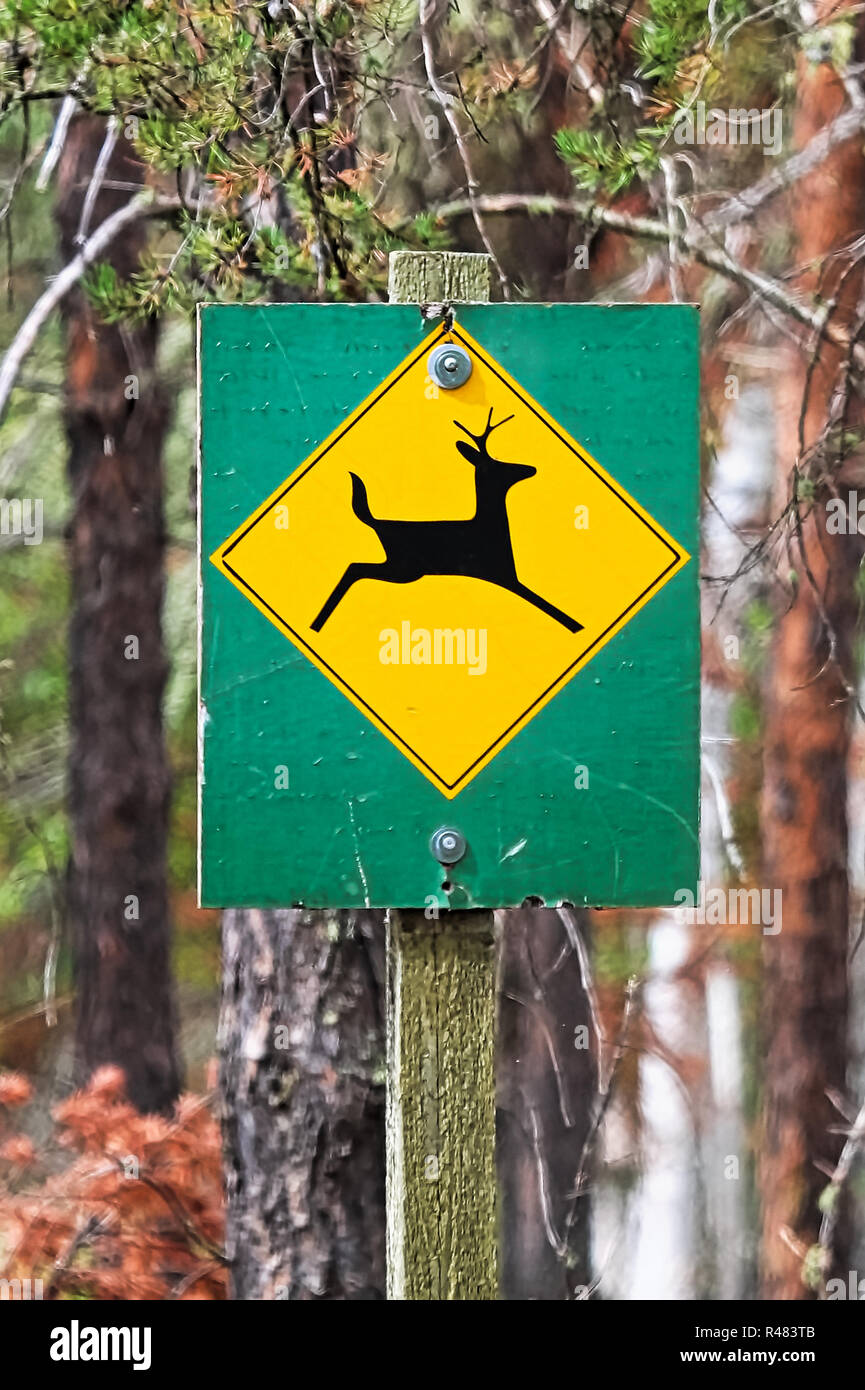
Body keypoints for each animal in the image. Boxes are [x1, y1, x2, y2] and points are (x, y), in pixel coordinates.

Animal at [310, 408, 582, 634]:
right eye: (497, 464)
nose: (530, 469)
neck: (488, 526)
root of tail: (377, 521)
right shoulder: (504, 576)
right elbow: (545, 605)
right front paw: (575, 625)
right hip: (405, 568)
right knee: (354, 568)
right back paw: (317, 623)